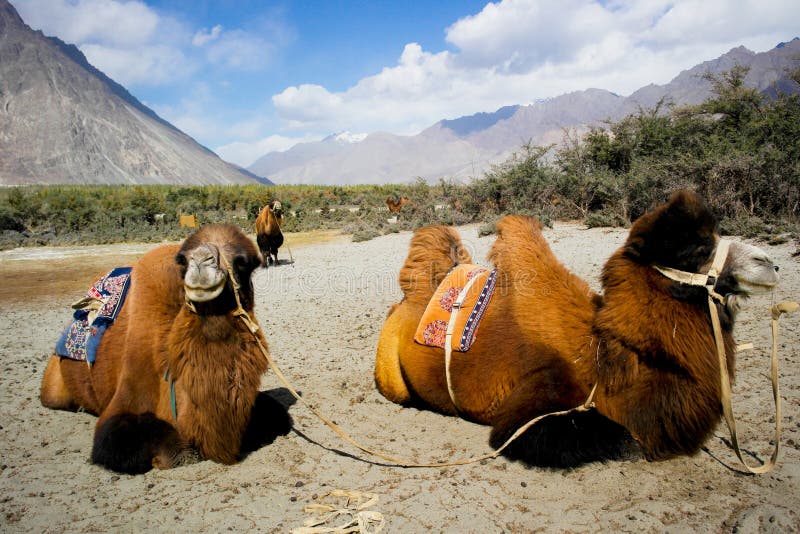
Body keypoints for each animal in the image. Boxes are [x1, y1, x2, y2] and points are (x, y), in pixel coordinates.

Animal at [40, 224, 286, 473]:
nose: (201, 260)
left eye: (242, 262)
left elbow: (276, 413)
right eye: (183, 260)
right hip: (54, 384)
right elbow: (134, 442)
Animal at [375, 190, 780, 467]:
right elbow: (623, 438)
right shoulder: (537, 399)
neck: (602, 359)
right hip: (389, 374)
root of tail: (407, 302)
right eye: (695, 250)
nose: (769, 263)